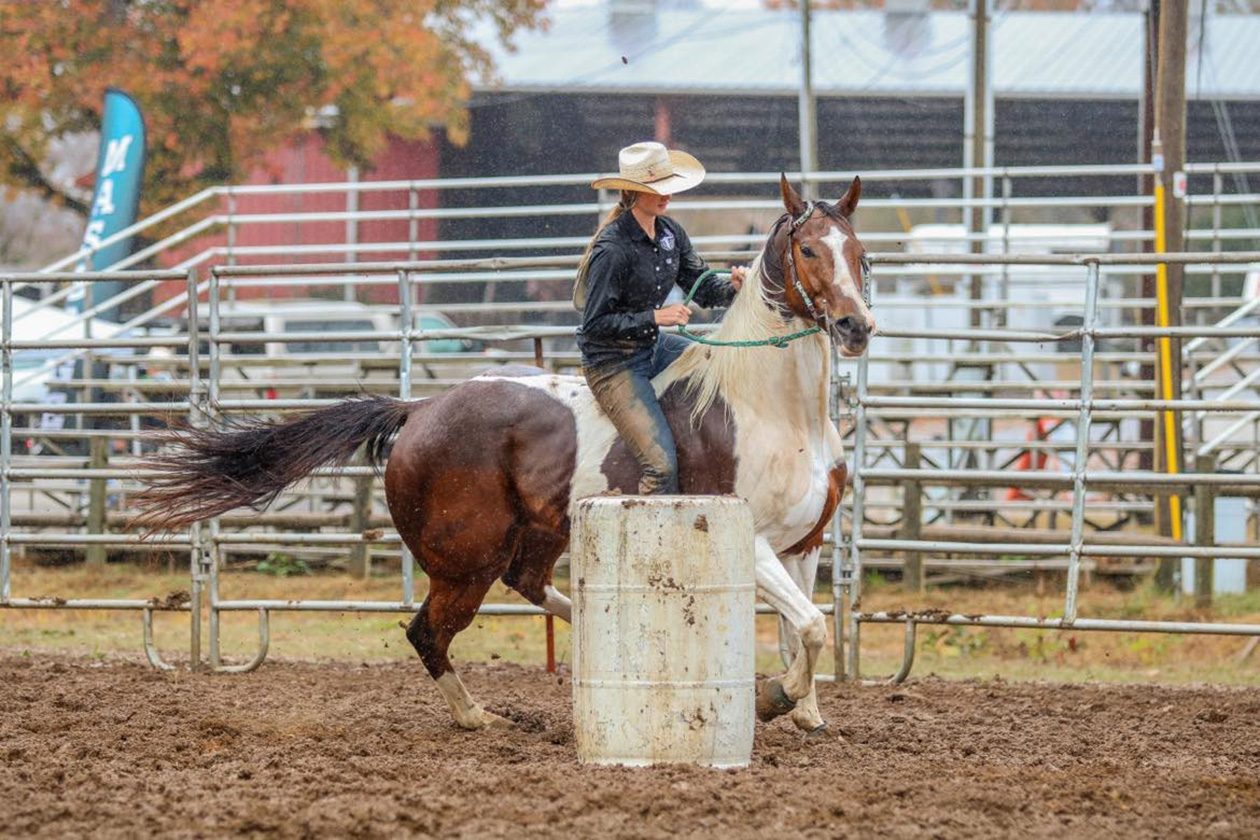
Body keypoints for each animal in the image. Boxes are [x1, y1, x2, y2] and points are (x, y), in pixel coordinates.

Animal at [135, 175, 875, 735]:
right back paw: (476, 717)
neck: (768, 407)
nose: (856, 326)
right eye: (810, 250)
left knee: (527, 584)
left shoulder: (804, 545)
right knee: (428, 633)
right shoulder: (750, 540)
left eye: (859, 250)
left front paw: (808, 712)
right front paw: (775, 698)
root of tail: (419, 410)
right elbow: (812, 627)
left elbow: (804, 629)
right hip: (466, 561)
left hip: (537, 533)